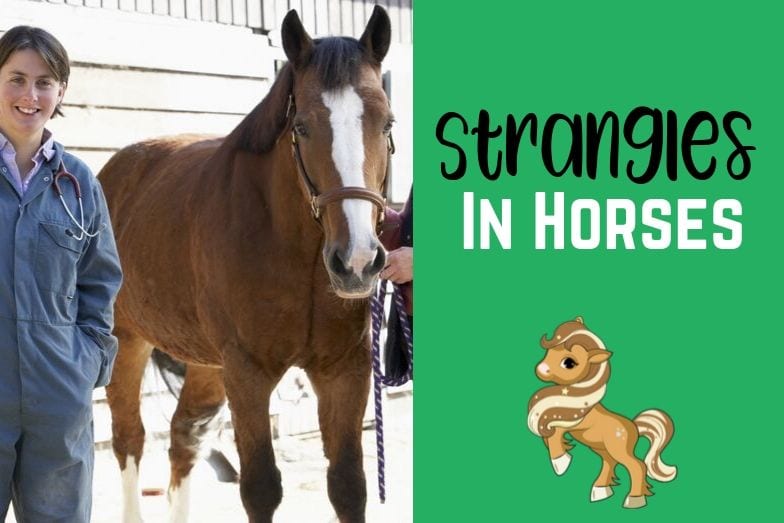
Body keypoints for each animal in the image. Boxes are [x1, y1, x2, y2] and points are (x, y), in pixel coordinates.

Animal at [98, 7, 395, 522]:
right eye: (302, 127)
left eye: (387, 123)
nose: (356, 261)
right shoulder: (248, 372)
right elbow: (260, 487)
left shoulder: (345, 370)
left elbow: (347, 485)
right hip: (128, 340)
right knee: (129, 439)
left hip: (206, 365)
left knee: (184, 438)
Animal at [527, 317, 677, 509]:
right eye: (549, 351)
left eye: (569, 363)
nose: (540, 369)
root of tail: (635, 428)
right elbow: (548, 435)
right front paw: (563, 452)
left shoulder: (573, 423)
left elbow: (555, 434)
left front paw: (561, 462)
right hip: (601, 449)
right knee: (609, 462)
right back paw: (601, 490)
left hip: (618, 450)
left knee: (637, 466)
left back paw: (634, 499)